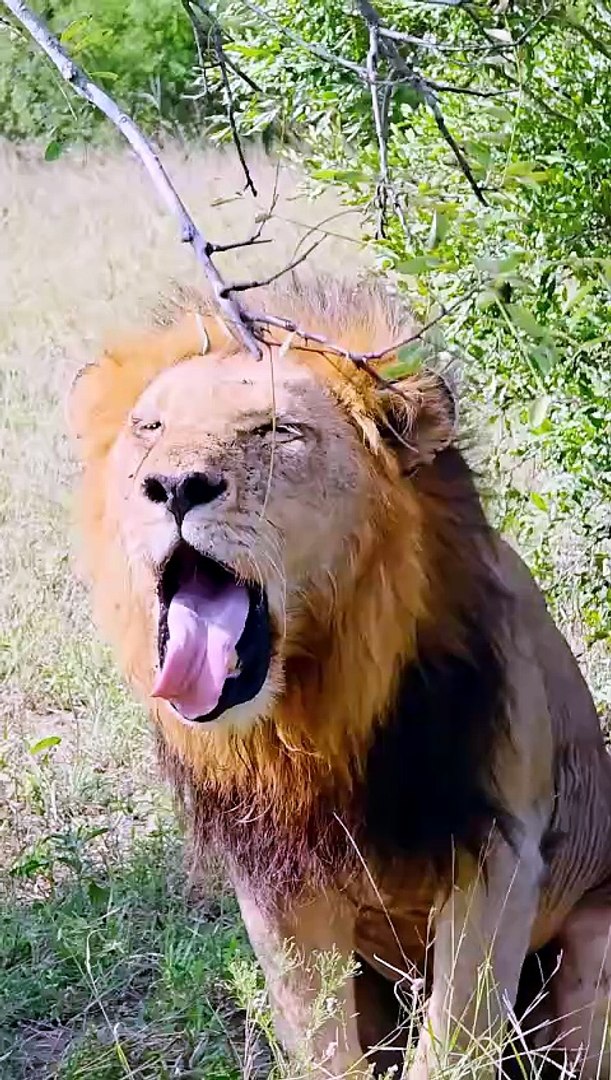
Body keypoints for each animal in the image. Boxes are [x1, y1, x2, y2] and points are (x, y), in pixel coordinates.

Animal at [69, 278, 611, 1078]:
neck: (317, 711)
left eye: (277, 431)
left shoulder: (497, 855)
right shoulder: (279, 888)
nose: (170, 486)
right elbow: (321, 1039)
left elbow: (452, 1039)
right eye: (149, 427)